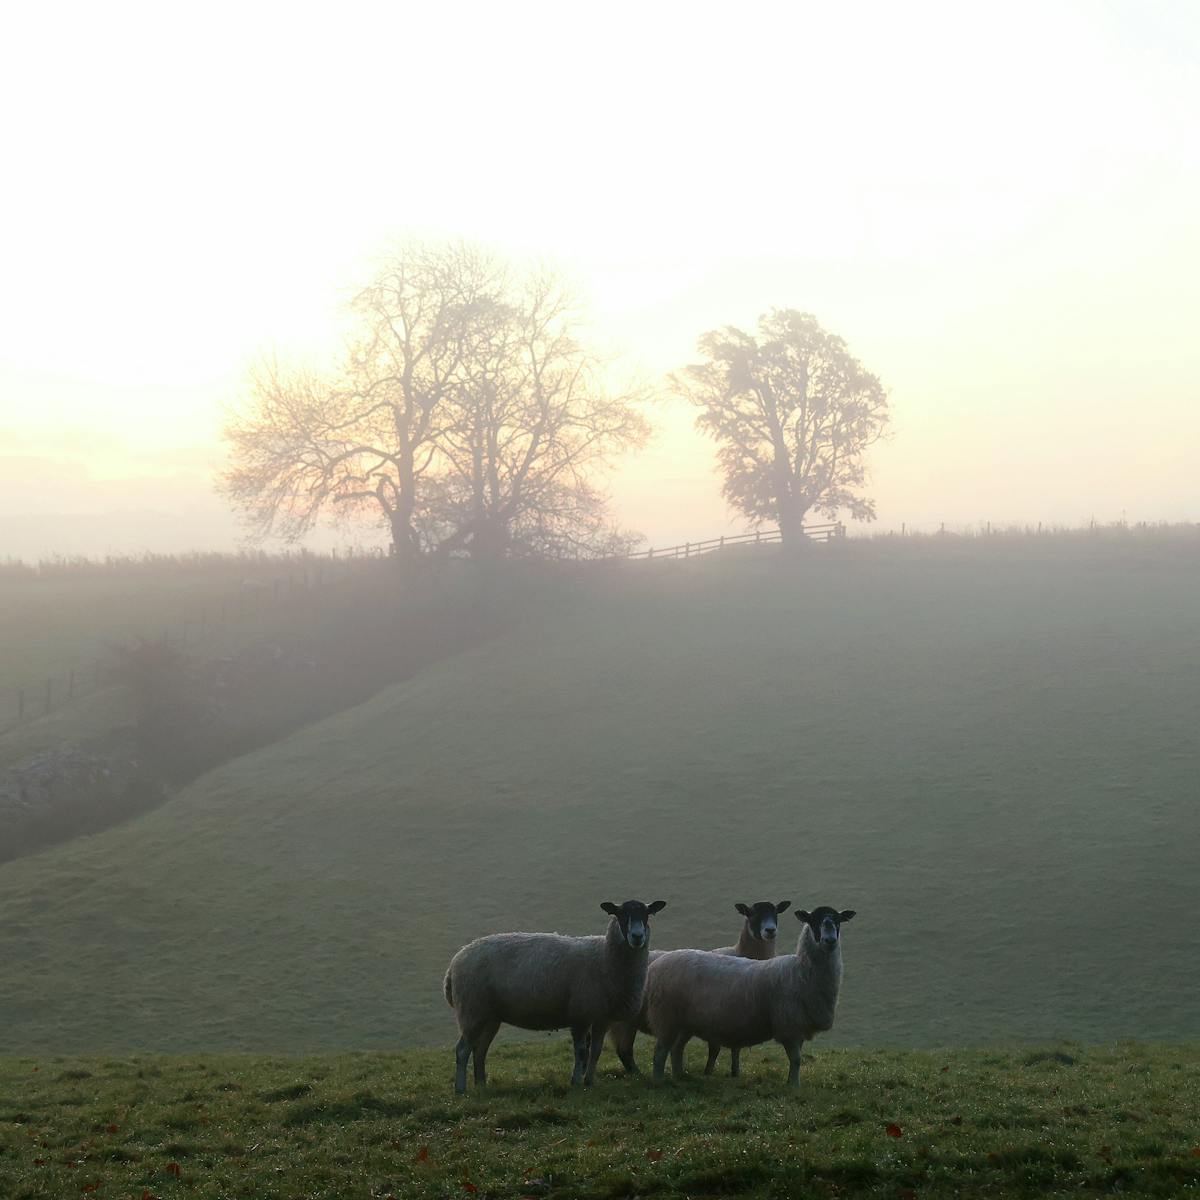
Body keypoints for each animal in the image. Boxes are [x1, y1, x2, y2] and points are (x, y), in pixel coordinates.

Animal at [443, 899, 667, 1093]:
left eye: (647, 914)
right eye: (621, 914)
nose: (637, 936)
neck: (604, 957)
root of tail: (455, 962)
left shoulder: (602, 1017)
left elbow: (596, 1051)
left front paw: (590, 1081)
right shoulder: (580, 1015)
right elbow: (581, 1051)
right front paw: (576, 1082)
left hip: (489, 1016)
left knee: (479, 1050)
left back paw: (481, 1085)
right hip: (471, 1010)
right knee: (462, 1050)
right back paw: (460, 1089)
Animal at [608, 899, 791, 1076]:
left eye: (775, 913)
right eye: (751, 914)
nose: (770, 930)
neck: (742, 953)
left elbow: (735, 1049)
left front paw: (735, 1073)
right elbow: (715, 1051)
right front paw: (708, 1073)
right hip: (626, 1020)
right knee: (624, 1050)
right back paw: (638, 1075)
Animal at [645, 905, 855, 1087]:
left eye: (838, 921)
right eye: (814, 921)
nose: (830, 940)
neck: (800, 970)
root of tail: (655, 966)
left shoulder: (798, 1025)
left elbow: (796, 1059)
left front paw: (790, 1082)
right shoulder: (789, 1025)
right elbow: (796, 1060)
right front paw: (795, 1087)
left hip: (684, 1023)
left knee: (676, 1049)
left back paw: (680, 1076)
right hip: (666, 1017)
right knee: (660, 1052)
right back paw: (659, 1081)